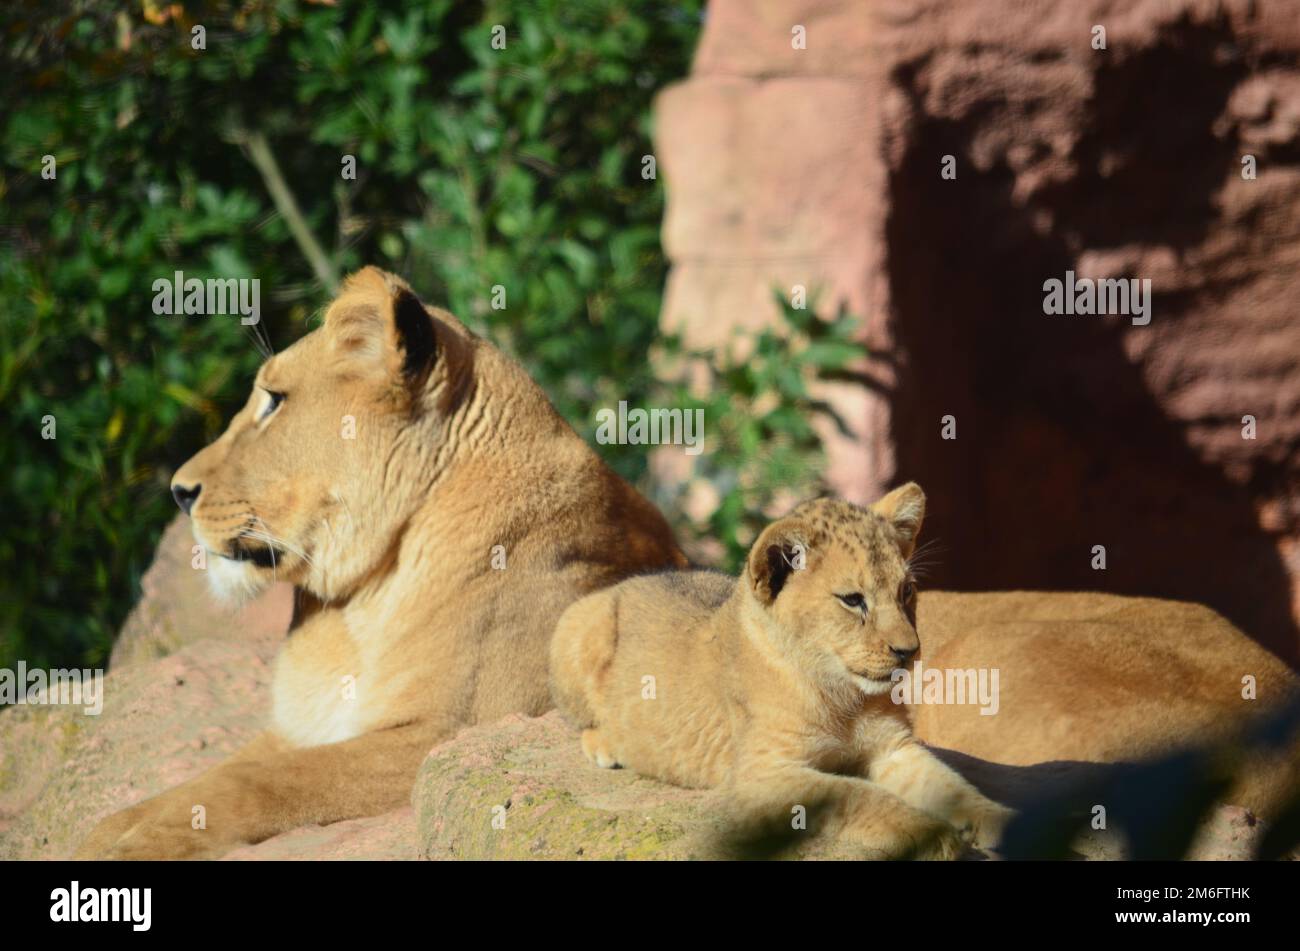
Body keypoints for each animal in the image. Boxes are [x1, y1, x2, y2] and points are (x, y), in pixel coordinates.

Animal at [76, 266, 686, 859]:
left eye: (273, 400)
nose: (180, 492)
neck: (355, 602)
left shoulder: (448, 734)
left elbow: (264, 780)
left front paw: (136, 845)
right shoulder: (299, 726)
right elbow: (203, 779)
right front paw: (111, 831)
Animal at [550, 484, 1014, 859]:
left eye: (906, 592)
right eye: (852, 600)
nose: (909, 651)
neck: (843, 695)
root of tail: (629, 580)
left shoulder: (894, 749)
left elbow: (951, 785)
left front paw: (1003, 821)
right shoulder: (761, 776)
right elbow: (857, 795)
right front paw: (932, 835)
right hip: (576, 625)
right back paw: (606, 744)